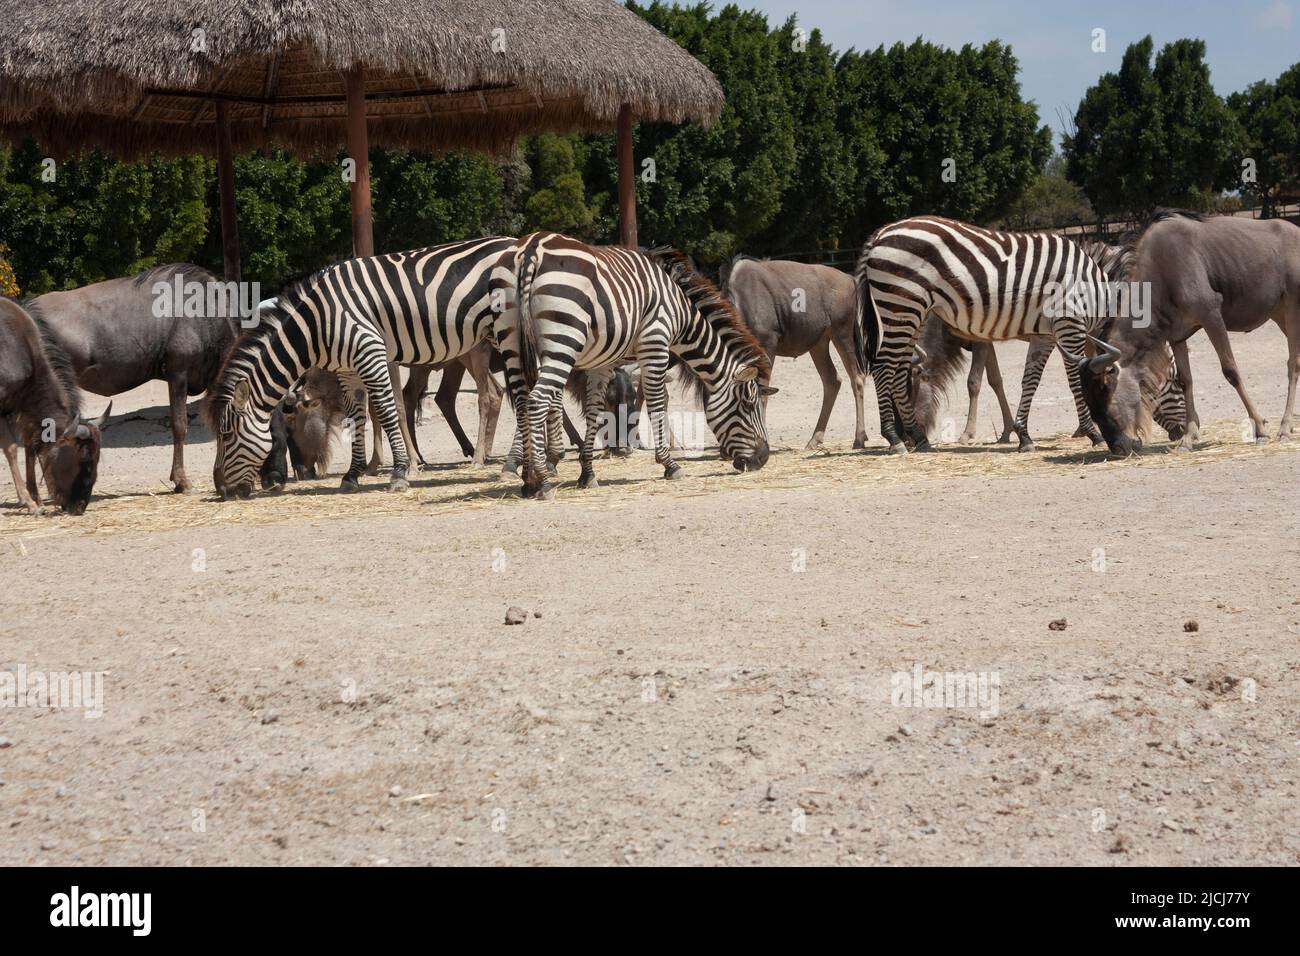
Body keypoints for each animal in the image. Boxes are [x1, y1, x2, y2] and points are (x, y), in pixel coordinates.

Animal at [205, 236, 517, 499]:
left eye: (226, 435)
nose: (223, 491)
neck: (317, 325)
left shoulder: (374, 354)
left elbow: (389, 411)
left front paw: (401, 471)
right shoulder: (349, 370)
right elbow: (359, 415)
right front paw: (354, 474)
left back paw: (500, 463)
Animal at [490, 232, 775, 500]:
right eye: (749, 405)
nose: (763, 459)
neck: (680, 309)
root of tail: (532, 248)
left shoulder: (602, 361)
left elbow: (594, 408)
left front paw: (587, 473)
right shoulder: (655, 343)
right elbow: (656, 402)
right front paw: (669, 464)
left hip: (513, 343)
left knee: (522, 402)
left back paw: (528, 482)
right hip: (562, 341)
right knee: (537, 401)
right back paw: (543, 482)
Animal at [856, 216, 1129, 453]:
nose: (1122, 445)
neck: (1097, 290)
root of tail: (880, 234)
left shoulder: (1045, 334)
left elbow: (1029, 380)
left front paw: (1023, 436)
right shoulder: (1069, 325)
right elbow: (1073, 380)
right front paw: (1092, 433)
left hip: (907, 312)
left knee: (897, 370)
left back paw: (918, 438)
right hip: (902, 304)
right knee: (882, 368)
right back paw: (894, 439)